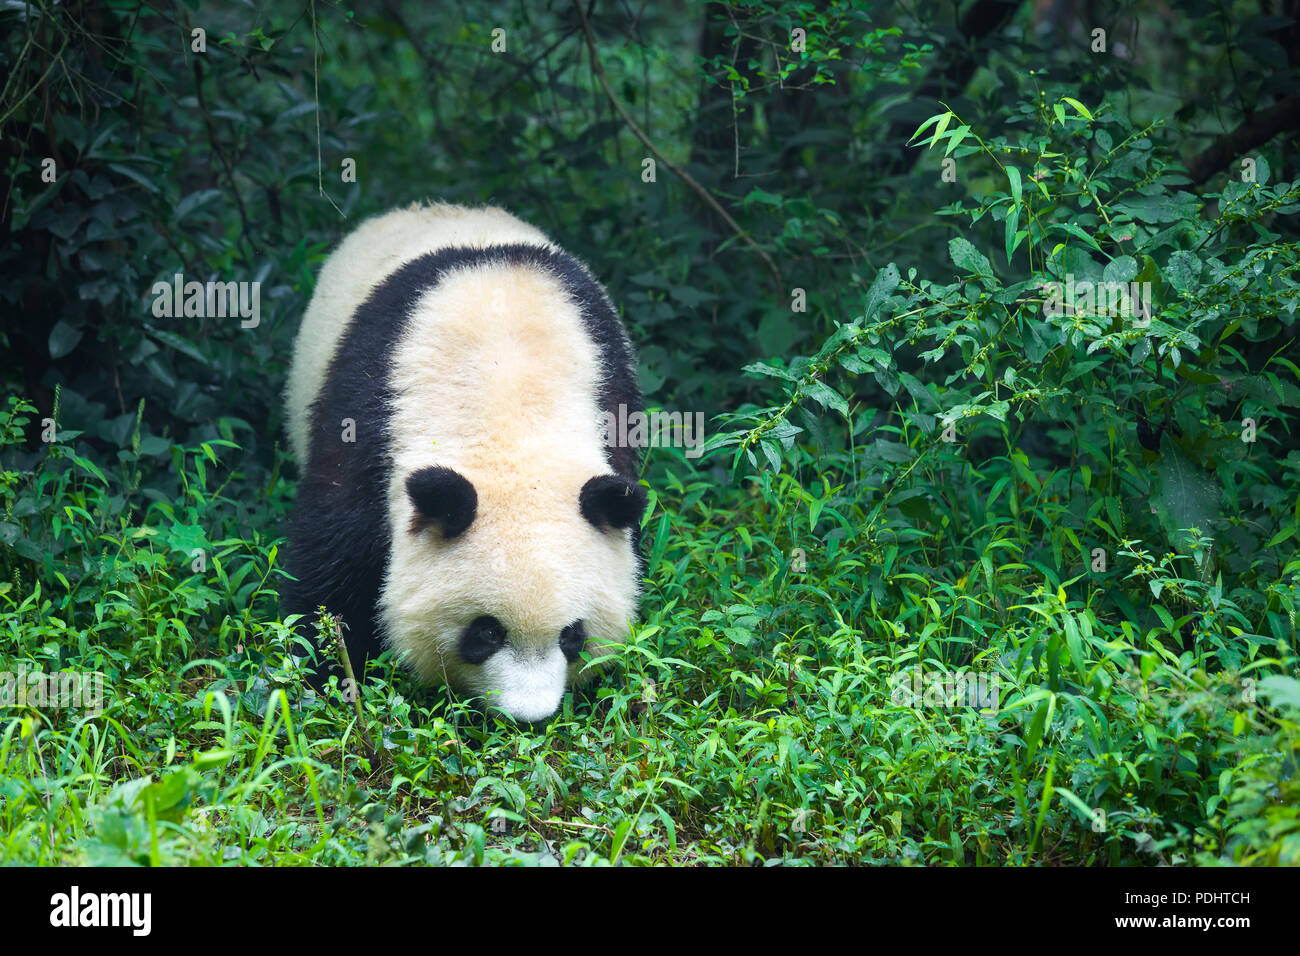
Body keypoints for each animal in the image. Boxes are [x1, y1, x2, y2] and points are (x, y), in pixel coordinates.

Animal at [281, 201, 646, 724]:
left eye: (571, 635)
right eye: (487, 632)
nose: (528, 716)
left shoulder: (612, 404)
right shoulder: (366, 426)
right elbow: (331, 562)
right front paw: (325, 681)